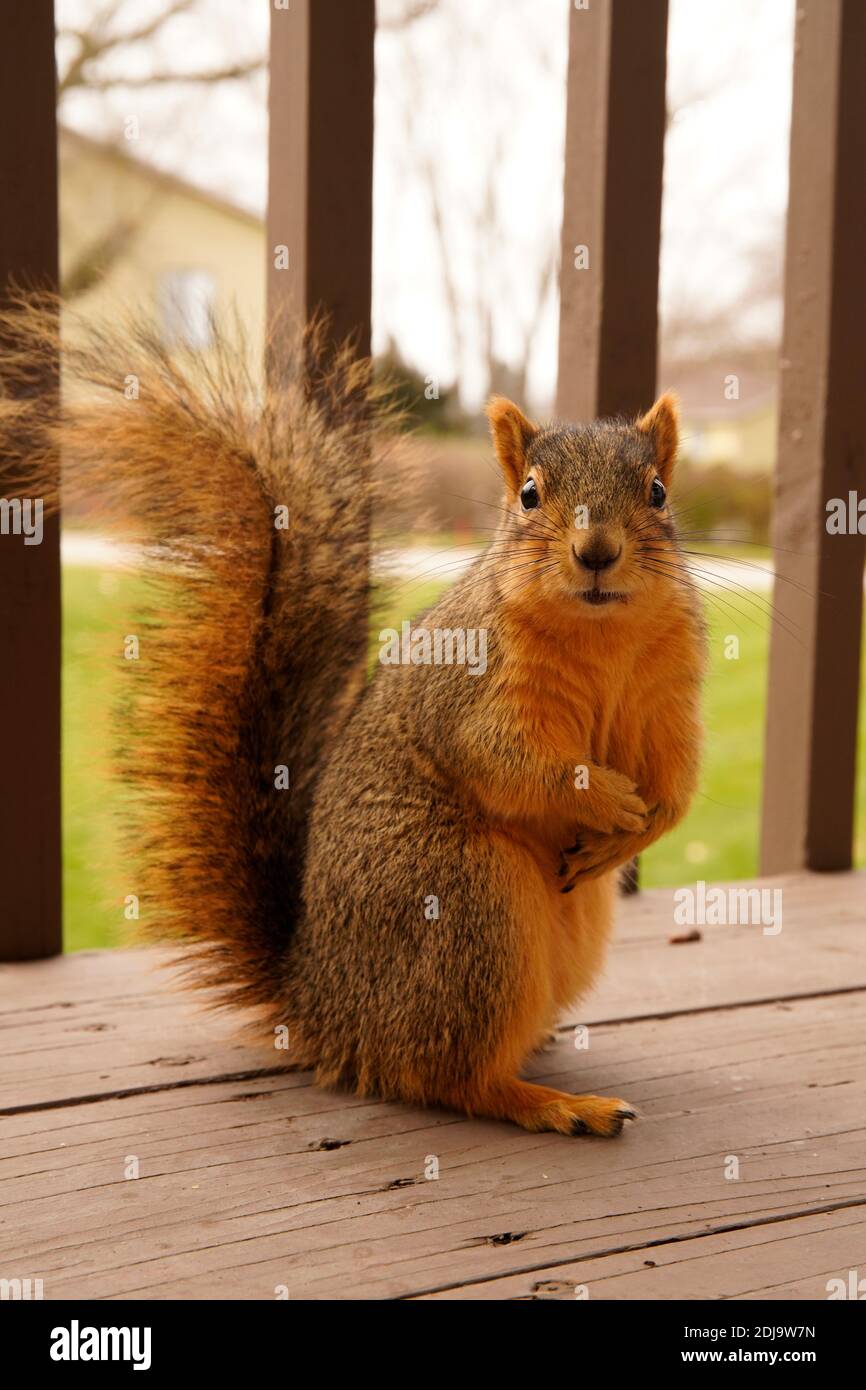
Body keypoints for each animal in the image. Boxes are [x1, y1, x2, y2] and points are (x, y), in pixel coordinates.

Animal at [0, 296, 704, 1138]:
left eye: (658, 491)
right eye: (530, 494)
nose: (596, 551)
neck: (601, 635)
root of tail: (323, 1004)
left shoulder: (669, 695)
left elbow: (677, 785)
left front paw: (636, 826)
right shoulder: (472, 696)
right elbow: (507, 762)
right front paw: (604, 797)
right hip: (469, 905)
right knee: (449, 1076)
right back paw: (552, 1103)